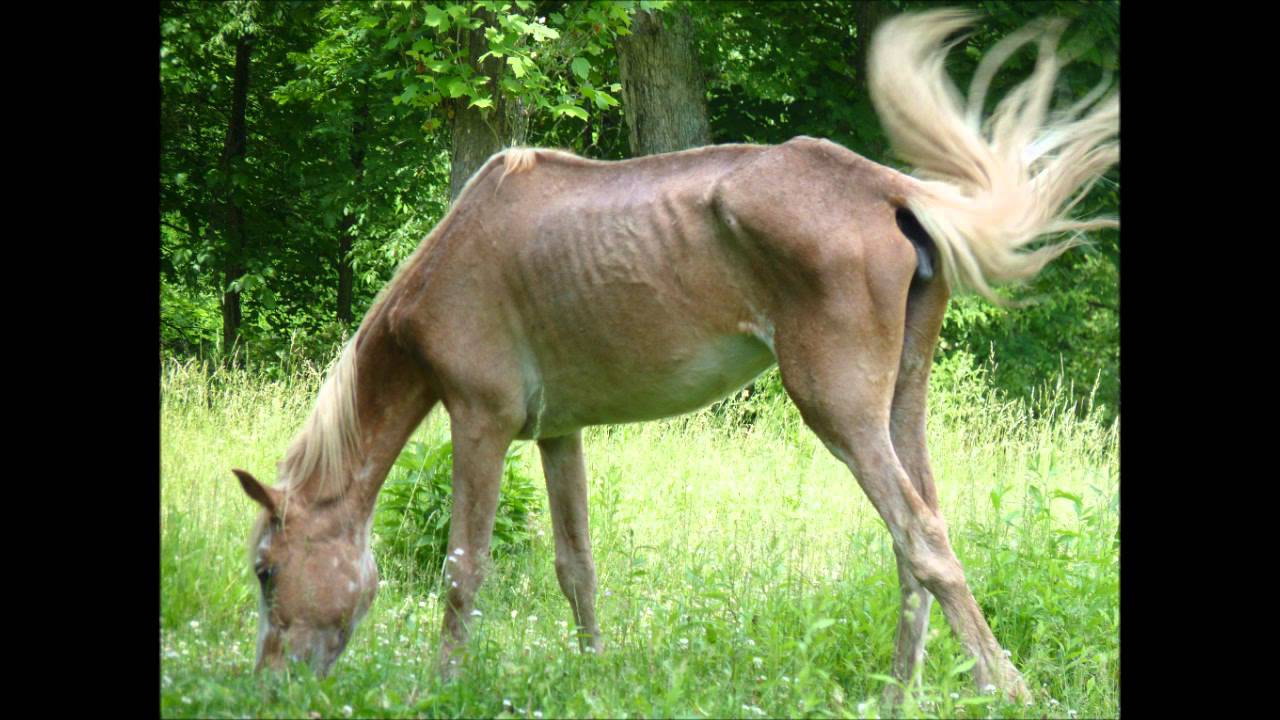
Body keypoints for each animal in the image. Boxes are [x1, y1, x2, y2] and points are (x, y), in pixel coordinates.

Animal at [231, 8, 1118, 703]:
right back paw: (897, 696)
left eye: (266, 571)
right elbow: (576, 564)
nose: (270, 688)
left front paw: (438, 689)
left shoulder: (478, 423)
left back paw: (1007, 689)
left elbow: (464, 567)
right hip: (900, 408)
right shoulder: (559, 434)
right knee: (915, 546)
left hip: (841, 412)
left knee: (925, 540)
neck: (456, 258)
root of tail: (889, 189)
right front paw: (593, 673)